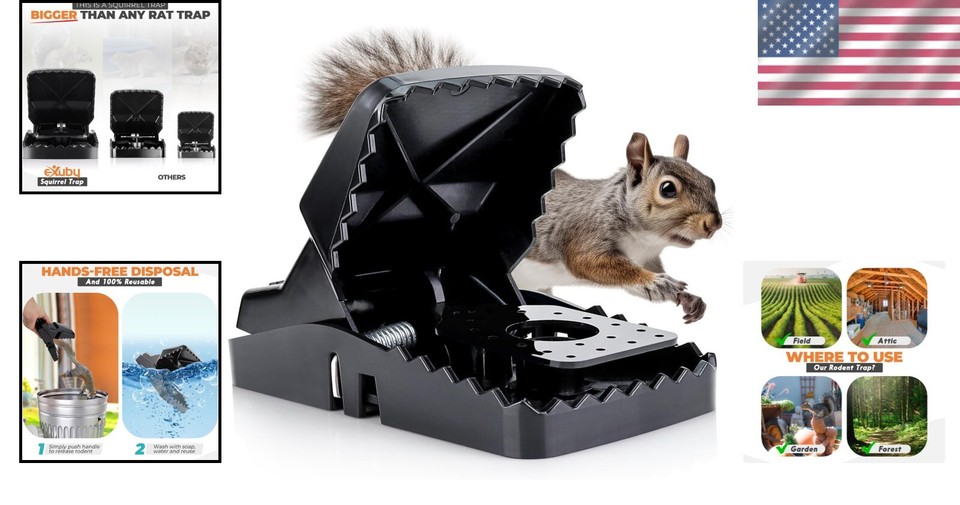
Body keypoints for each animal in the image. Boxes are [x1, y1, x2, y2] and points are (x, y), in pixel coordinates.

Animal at [305, 30, 720, 323]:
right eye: (668, 189)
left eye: (711, 181)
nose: (713, 224)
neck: (642, 239)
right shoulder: (585, 232)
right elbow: (594, 264)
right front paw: (655, 283)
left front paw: (689, 298)